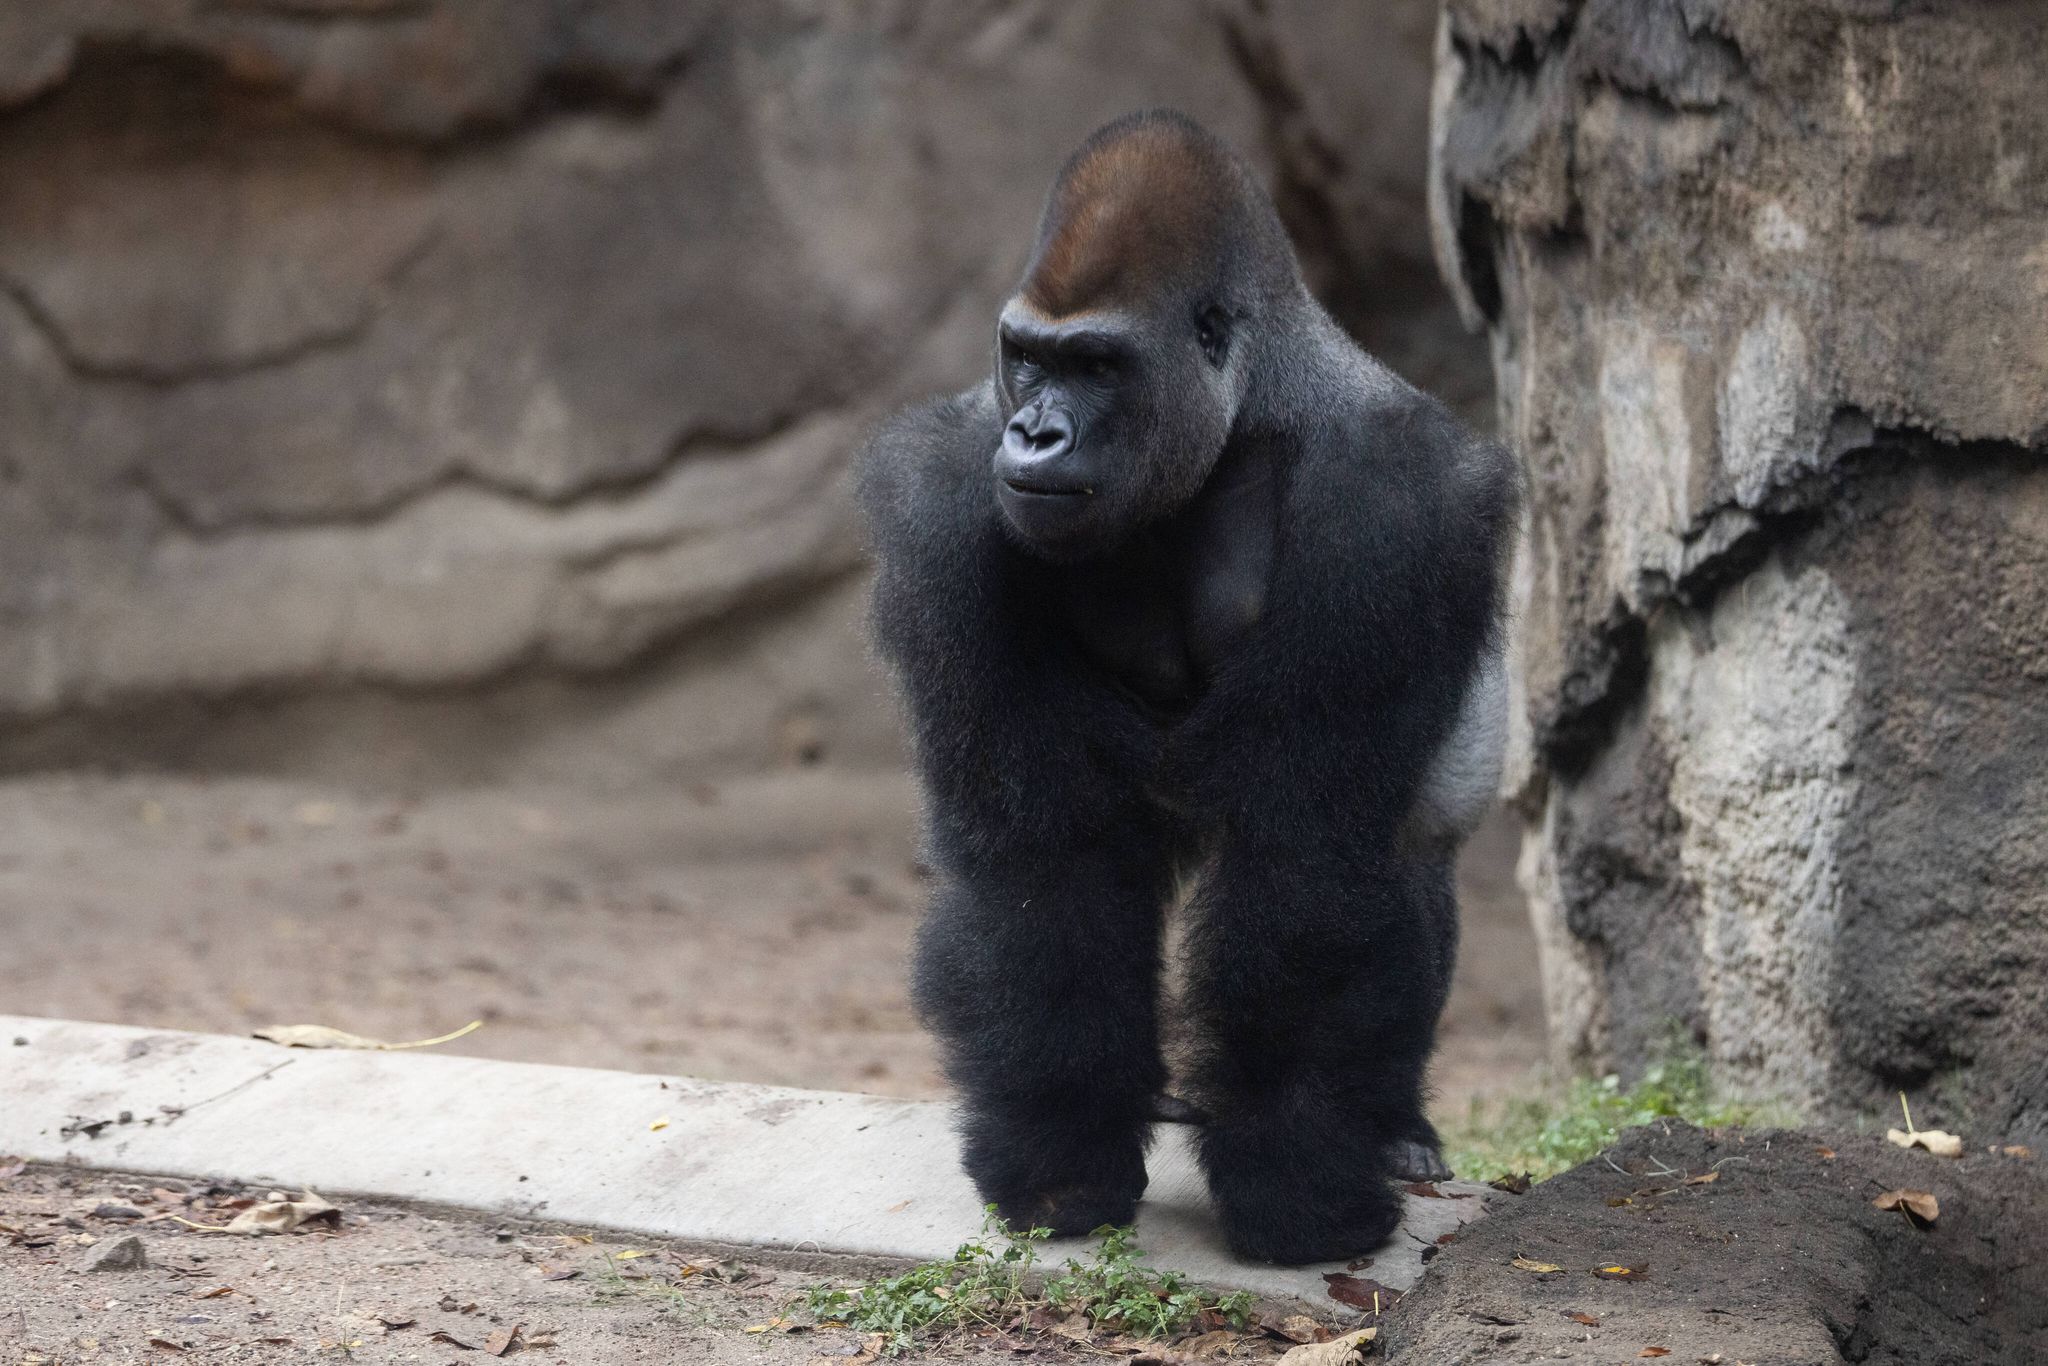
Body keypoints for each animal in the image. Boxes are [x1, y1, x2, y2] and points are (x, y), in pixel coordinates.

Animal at [857, 110, 1518, 1265]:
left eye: (1097, 364)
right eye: (1027, 359)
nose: (1034, 433)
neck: (1243, 410)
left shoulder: (1392, 512)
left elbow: (1305, 867)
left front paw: (1296, 1186)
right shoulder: (946, 496)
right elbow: (1042, 863)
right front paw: (1060, 1161)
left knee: (1407, 856)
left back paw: (1392, 1123)